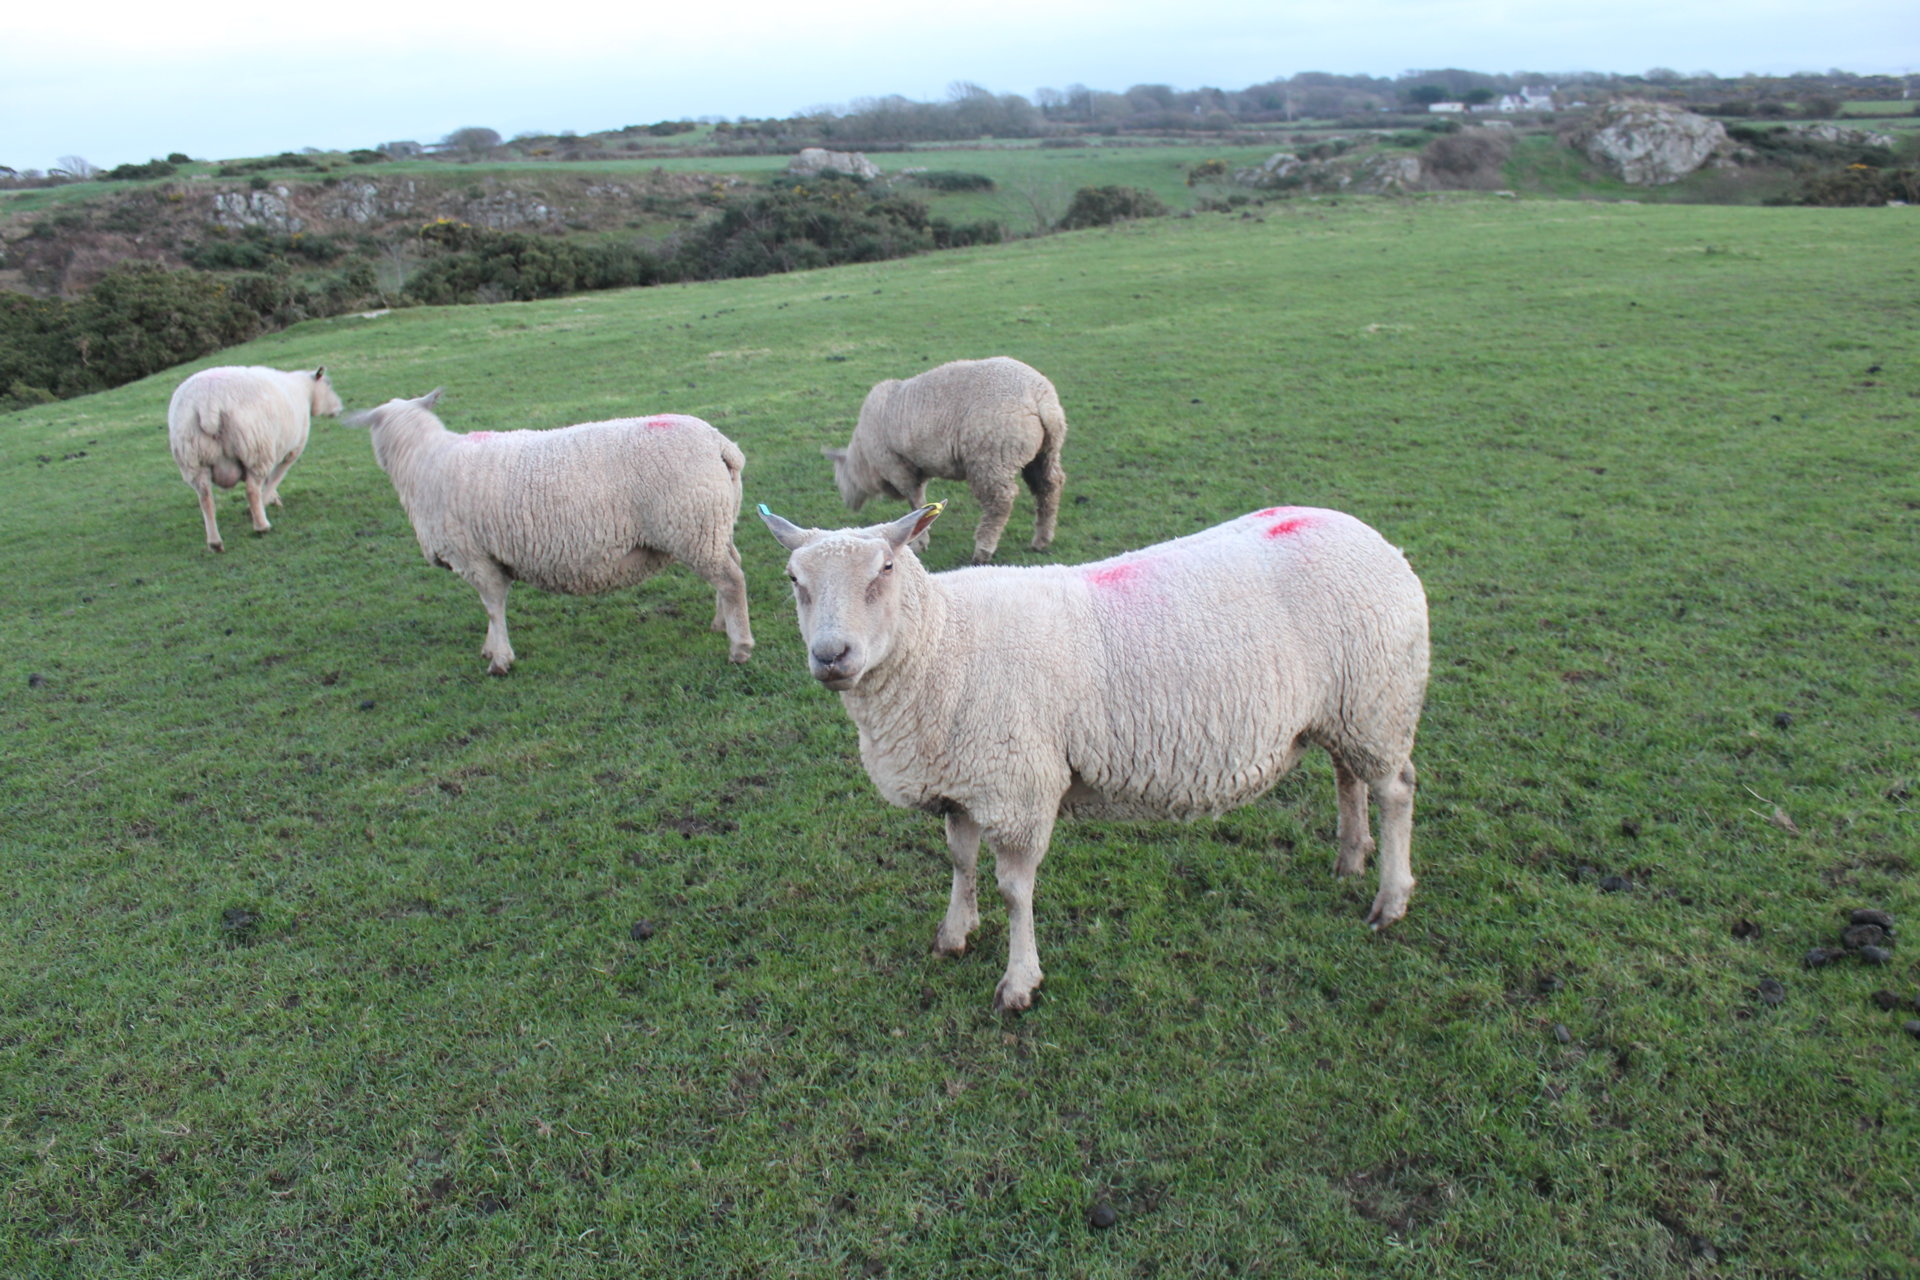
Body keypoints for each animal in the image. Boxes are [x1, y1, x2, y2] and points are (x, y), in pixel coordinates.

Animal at [167, 365, 343, 551]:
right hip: (256, 447)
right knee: (251, 490)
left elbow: (268, 480)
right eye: (328, 384)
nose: (339, 408)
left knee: (205, 498)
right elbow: (275, 477)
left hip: (192, 457)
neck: (305, 390)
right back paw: (261, 526)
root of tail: (207, 403)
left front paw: (273, 498)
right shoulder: (292, 450)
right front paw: (266, 501)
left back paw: (215, 543)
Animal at [350, 390, 753, 673]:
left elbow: (492, 605)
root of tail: (721, 445)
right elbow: (491, 607)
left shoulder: (474, 555)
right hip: (712, 525)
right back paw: (721, 624)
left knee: (731, 579)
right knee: (730, 569)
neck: (424, 462)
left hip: (693, 525)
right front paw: (490, 647)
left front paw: (499, 659)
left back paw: (740, 647)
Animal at [760, 500, 1429, 1011]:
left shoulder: (1019, 787)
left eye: (887, 567)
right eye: (794, 581)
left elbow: (1014, 891)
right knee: (1348, 777)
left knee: (1395, 789)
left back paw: (1390, 899)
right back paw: (1350, 858)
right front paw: (954, 934)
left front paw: (1019, 983)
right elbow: (959, 861)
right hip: (1348, 708)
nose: (831, 655)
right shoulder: (963, 782)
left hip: (1380, 698)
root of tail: (1372, 537)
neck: (946, 640)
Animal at [824, 356, 1067, 563]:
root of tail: (1039, 396)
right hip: (1044, 452)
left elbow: (915, 501)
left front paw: (919, 542)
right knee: (1049, 486)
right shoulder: (917, 467)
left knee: (1000, 501)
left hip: (992, 455)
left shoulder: (898, 467)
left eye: (839, 477)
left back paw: (983, 549)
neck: (864, 458)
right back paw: (1042, 540)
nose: (848, 505)